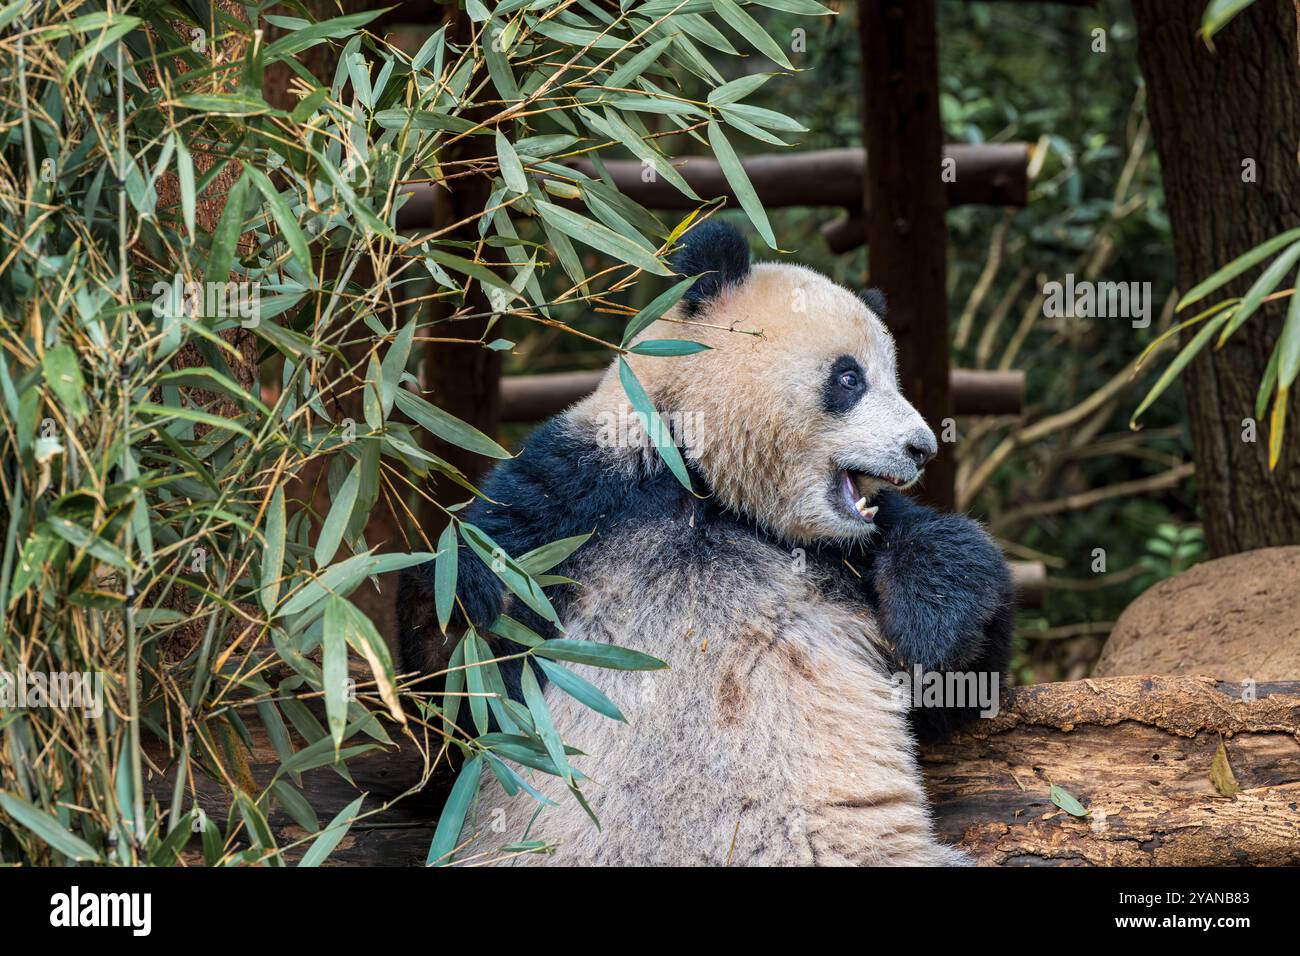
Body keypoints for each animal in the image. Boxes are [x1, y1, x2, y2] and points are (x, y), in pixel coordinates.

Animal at [398, 220, 1014, 866]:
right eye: (850, 377)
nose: (922, 448)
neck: (710, 488)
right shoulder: (582, 488)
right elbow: (453, 700)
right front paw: (468, 595)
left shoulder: (844, 555)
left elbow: (954, 685)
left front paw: (933, 622)